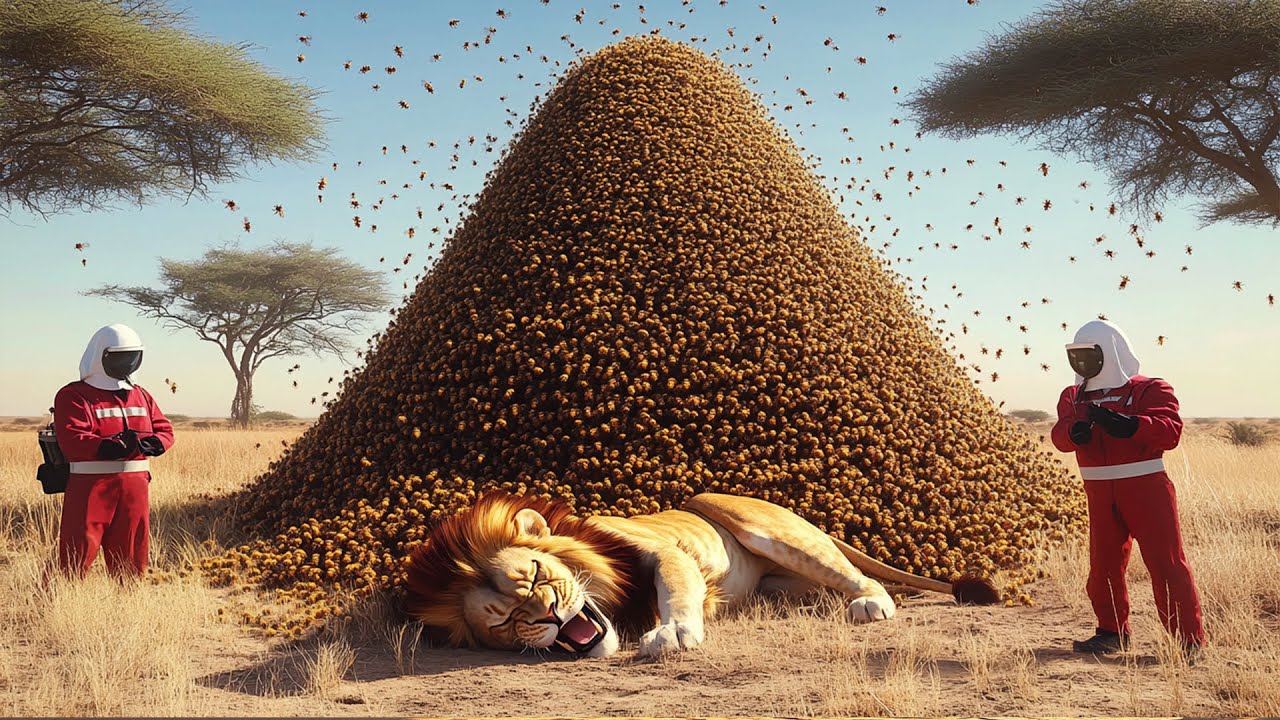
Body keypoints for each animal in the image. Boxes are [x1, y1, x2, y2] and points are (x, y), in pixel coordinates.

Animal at [404, 491, 999, 658]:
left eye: (532, 575)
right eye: (504, 622)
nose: (548, 614)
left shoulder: (663, 551)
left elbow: (676, 590)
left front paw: (672, 631)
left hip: (746, 520)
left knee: (860, 577)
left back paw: (871, 603)